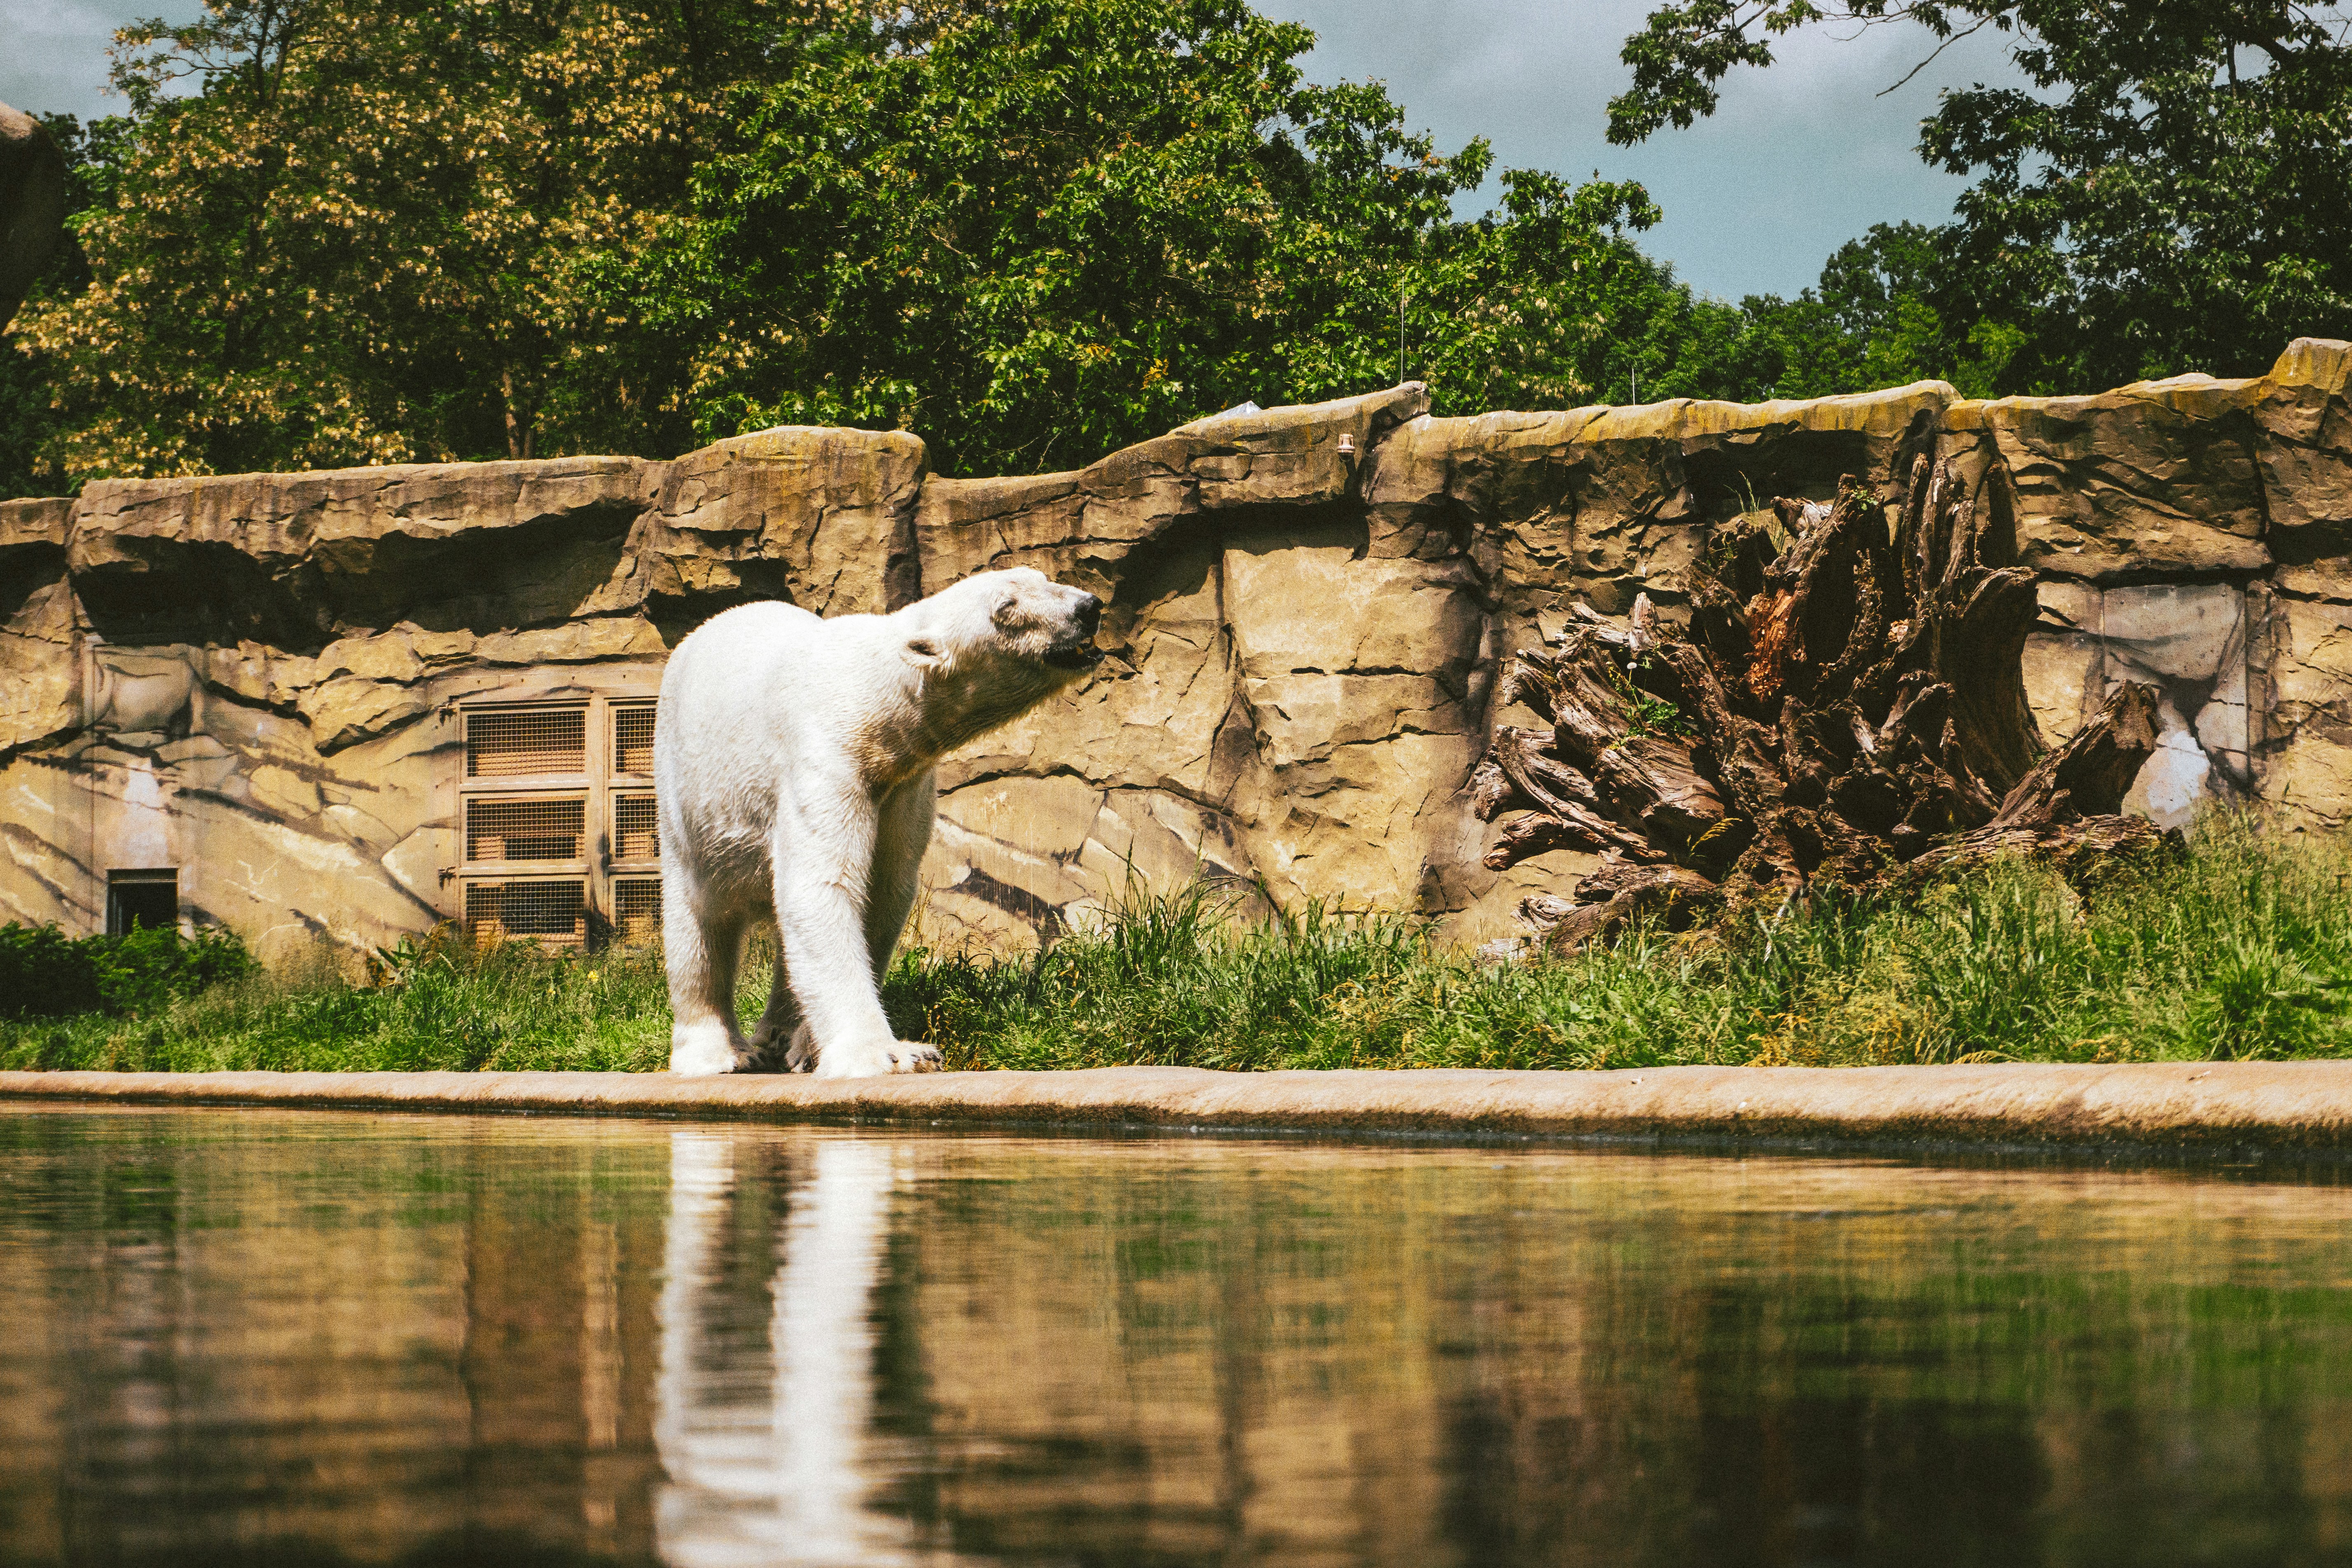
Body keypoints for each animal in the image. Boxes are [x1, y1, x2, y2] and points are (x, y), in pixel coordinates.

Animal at [654, 567, 1104, 1077]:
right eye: (1005, 608)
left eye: (1042, 577)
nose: (1088, 607)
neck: (872, 702)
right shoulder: (825, 758)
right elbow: (822, 886)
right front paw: (894, 1054)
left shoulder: (903, 785)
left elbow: (884, 889)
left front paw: (812, 1048)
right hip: (687, 794)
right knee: (700, 916)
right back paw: (721, 1054)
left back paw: (778, 1037)